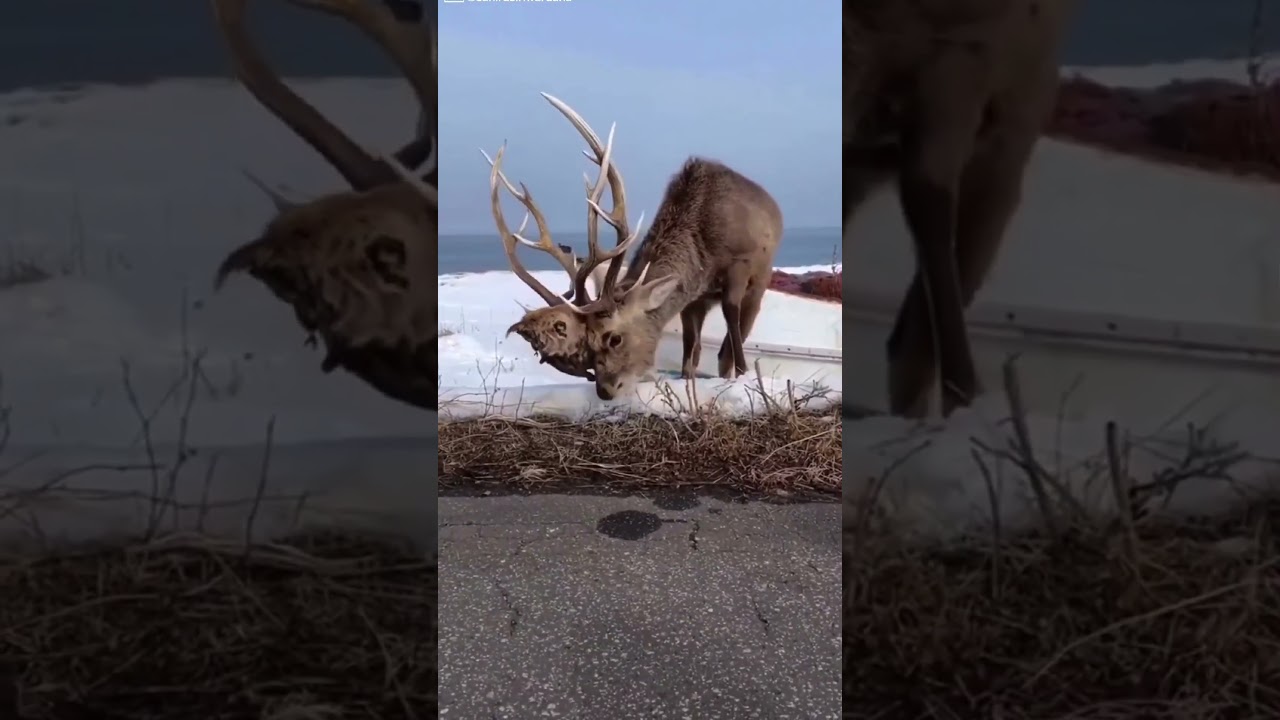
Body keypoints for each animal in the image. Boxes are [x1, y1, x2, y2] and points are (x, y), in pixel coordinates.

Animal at [487, 94, 783, 401]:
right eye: (588, 346)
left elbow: (731, 319)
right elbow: (689, 356)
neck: (705, 253)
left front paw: (743, 372)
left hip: (761, 275)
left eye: (614, 338)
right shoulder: (693, 298)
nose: (605, 391)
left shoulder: (741, 264)